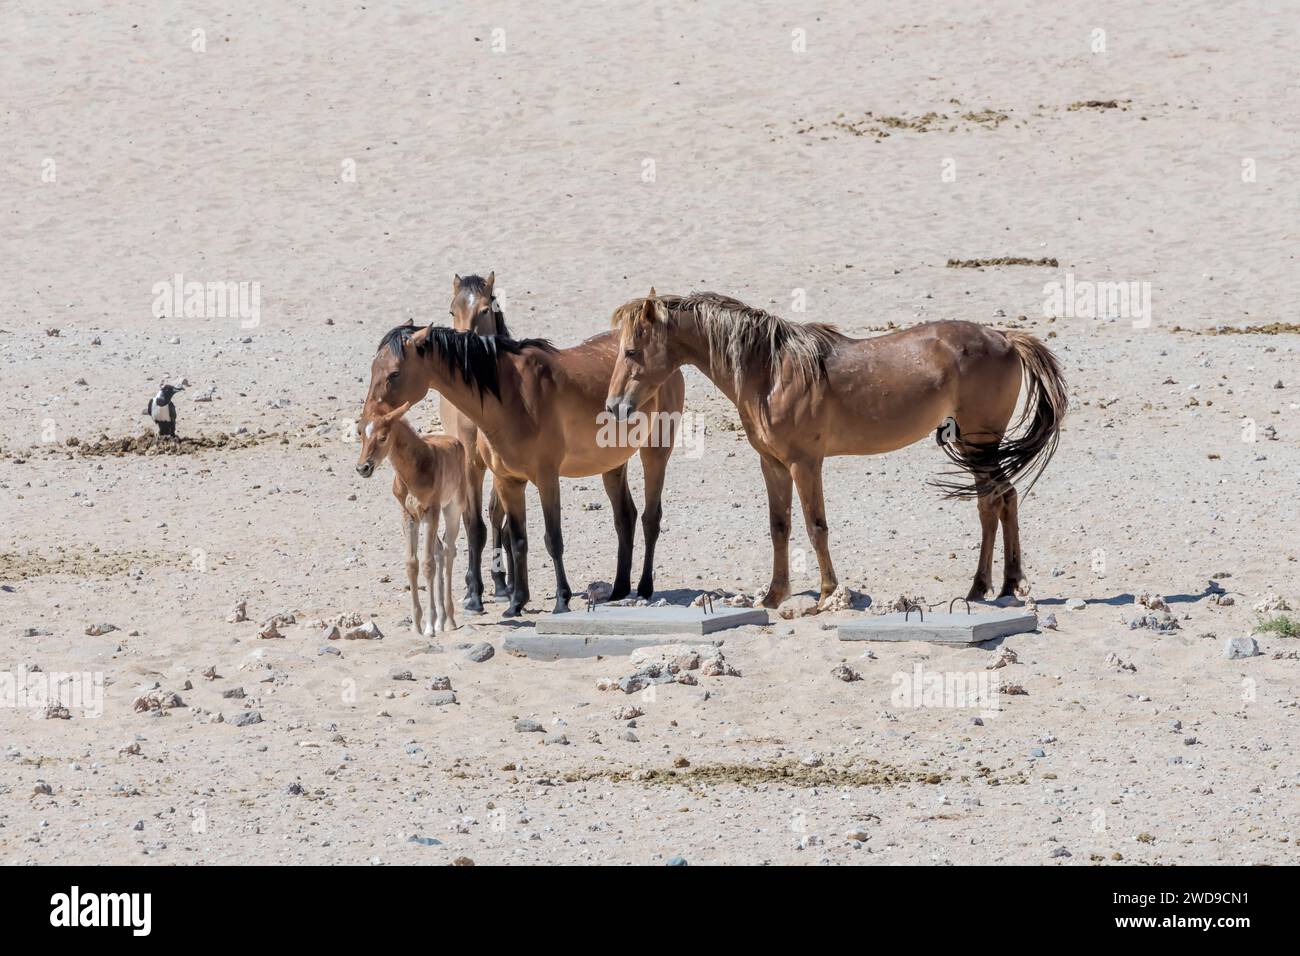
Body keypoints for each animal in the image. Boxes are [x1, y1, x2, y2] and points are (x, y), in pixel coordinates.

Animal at [356, 401, 468, 635]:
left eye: (383, 437)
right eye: (360, 433)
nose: (363, 468)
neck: (414, 470)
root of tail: (455, 441)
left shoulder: (432, 511)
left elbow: (427, 564)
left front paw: (429, 627)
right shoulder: (408, 516)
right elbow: (412, 563)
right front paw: (417, 625)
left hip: (453, 508)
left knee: (449, 550)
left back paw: (449, 620)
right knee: (440, 549)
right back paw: (441, 620)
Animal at [364, 323, 687, 616]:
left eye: (394, 374)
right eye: (373, 370)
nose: (370, 419)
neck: (511, 395)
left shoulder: (546, 478)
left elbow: (552, 538)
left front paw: (561, 600)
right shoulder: (509, 481)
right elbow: (517, 539)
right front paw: (516, 602)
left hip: (655, 454)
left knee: (650, 518)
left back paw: (644, 588)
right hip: (612, 465)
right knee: (625, 518)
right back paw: (619, 588)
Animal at [605, 290, 1067, 607]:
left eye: (631, 350)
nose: (614, 406)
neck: (770, 371)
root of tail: (1004, 337)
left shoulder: (805, 463)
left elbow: (816, 526)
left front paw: (828, 594)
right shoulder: (772, 464)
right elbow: (780, 527)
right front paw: (774, 596)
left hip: (980, 442)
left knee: (993, 501)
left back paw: (987, 586)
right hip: (978, 447)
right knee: (1001, 500)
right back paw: (998, 585)